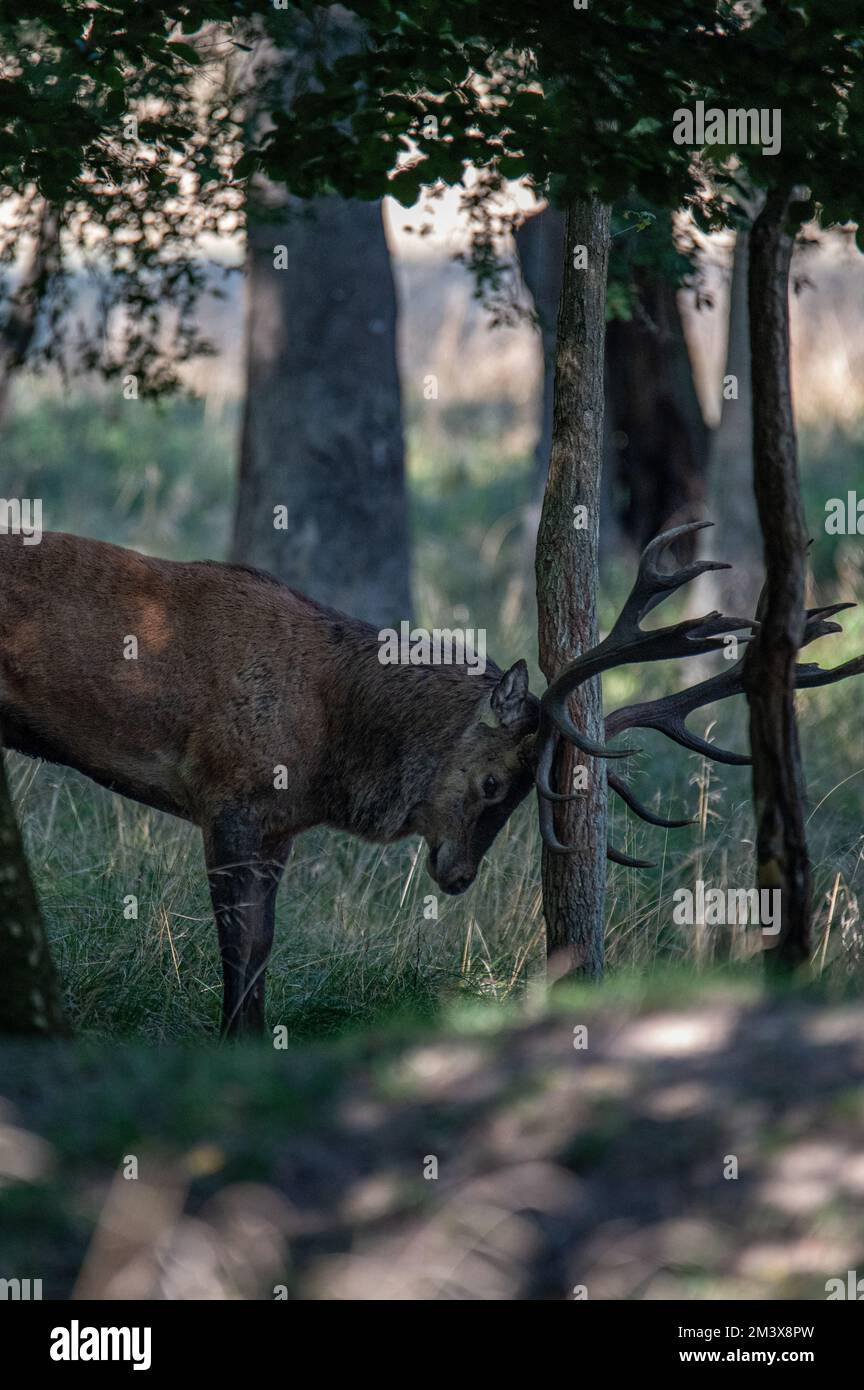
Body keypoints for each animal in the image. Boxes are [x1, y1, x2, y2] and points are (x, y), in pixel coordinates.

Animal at [1, 520, 860, 1036]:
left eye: (526, 796)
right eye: (494, 785)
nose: (457, 876)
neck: (324, 745)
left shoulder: (276, 827)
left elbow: (266, 944)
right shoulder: (230, 793)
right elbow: (239, 945)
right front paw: (228, 1041)